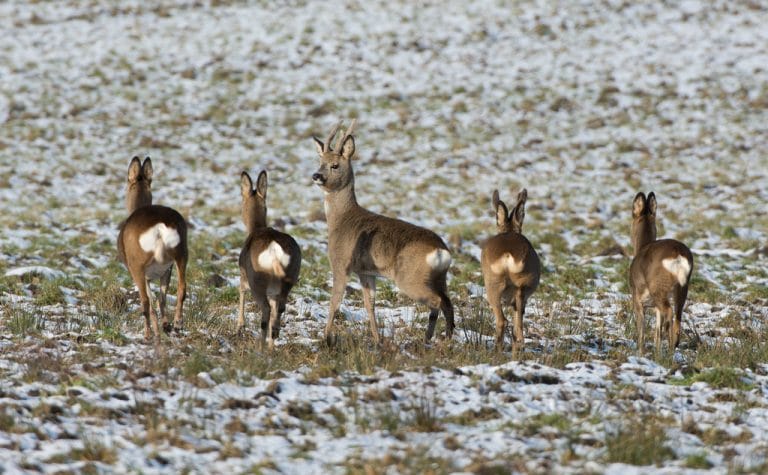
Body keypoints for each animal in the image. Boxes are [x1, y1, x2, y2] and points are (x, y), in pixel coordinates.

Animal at [117, 156, 188, 343]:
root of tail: (160, 227)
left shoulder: (141, 272)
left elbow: (151, 299)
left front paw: (156, 331)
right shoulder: (165, 270)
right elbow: (160, 298)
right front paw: (164, 326)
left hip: (137, 265)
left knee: (144, 301)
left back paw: (148, 333)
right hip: (181, 254)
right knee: (182, 288)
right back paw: (176, 324)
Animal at [237, 170, 302, 350]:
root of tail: (274, 251)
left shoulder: (243, 272)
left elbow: (241, 290)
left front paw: (240, 326)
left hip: (257, 279)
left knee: (266, 309)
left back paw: (259, 347)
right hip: (290, 276)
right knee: (279, 308)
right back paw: (272, 343)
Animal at [311, 119, 454, 345]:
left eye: (335, 165)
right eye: (320, 161)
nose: (316, 175)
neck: (340, 220)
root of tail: (441, 251)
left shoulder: (340, 263)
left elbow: (335, 301)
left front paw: (325, 339)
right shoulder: (366, 272)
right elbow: (370, 305)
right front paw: (378, 340)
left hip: (409, 279)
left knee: (440, 303)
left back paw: (445, 341)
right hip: (440, 278)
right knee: (444, 302)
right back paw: (428, 340)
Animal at [629, 191, 693, 351]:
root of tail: (678, 255)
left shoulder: (637, 298)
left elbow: (641, 332)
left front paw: (640, 353)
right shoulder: (655, 307)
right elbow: (656, 334)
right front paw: (657, 353)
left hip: (658, 287)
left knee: (670, 314)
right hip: (682, 288)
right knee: (677, 322)